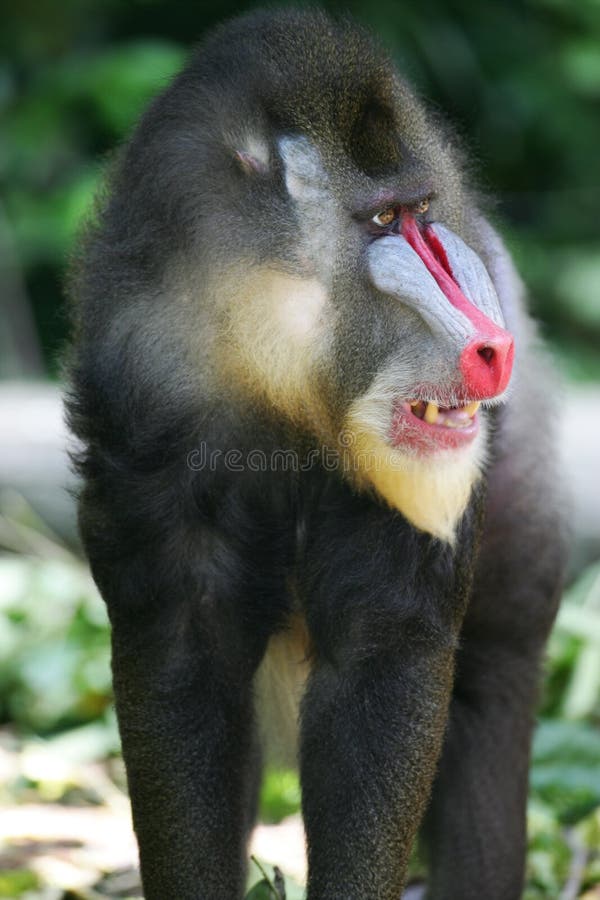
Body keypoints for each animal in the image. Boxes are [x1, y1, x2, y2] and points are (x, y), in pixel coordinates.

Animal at [66, 9, 565, 900]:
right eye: (381, 222)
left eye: (422, 209)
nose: (492, 344)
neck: (275, 389)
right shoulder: (142, 420)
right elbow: (183, 668)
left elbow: (381, 656)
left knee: (494, 676)